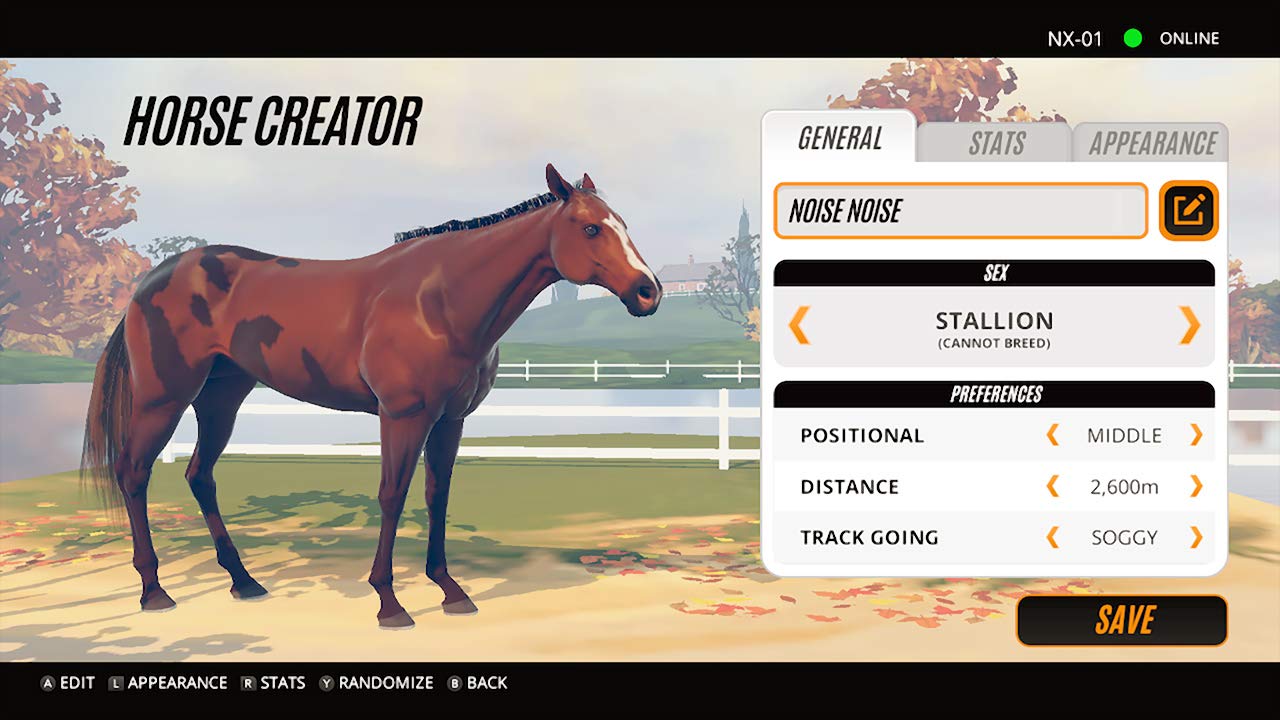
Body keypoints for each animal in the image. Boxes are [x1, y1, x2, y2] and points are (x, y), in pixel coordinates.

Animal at [80, 164, 662, 628]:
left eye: (624, 225)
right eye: (590, 227)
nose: (648, 292)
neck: (440, 299)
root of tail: (151, 280)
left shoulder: (450, 420)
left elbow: (437, 495)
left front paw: (450, 590)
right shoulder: (402, 415)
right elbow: (392, 495)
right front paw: (389, 602)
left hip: (221, 398)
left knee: (200, 475)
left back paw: (244, 581)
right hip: (163, 398)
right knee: (133, 471)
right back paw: (154, 590)